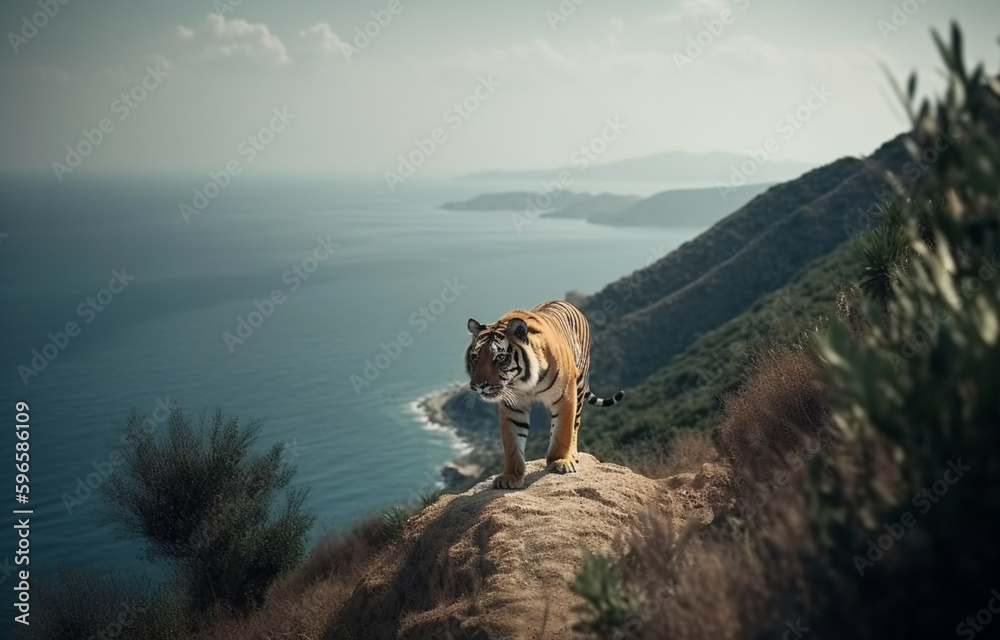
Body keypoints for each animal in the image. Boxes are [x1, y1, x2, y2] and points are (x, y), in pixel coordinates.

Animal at [465, 299, 624, 489]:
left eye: (500, 357)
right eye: (475, 357)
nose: (479, 385)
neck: (524, 380)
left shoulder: (565, 396)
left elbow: (562, 431)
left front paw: (560, 461)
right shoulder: (513, 405)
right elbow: (512, 444)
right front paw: (511, 476)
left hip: (579, 386)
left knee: (576, 424)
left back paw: (573, 455)